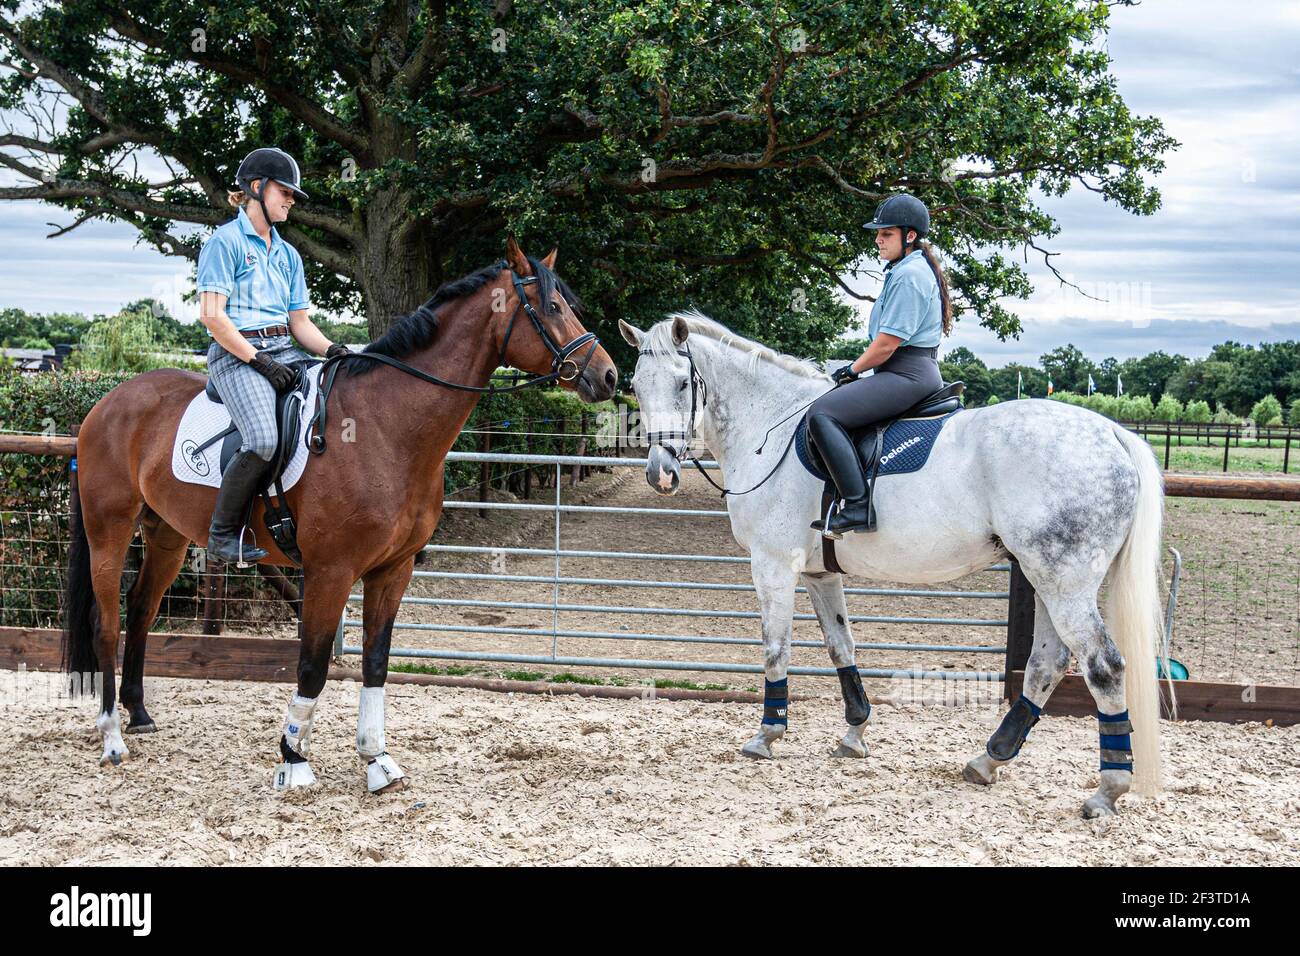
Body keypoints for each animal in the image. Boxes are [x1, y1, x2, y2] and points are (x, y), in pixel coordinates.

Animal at [62, 238, 618, 792]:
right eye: (552, 307)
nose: (607, 375)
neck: (387, 425)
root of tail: (106, 402)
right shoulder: (330, 572)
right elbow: (311, 666)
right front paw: (293, 760)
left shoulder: (393, 569)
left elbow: (376, 662)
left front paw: (377, 760)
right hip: (110, 529)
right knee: (107, 622)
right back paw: (112, 737)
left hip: (167, 535)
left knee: (141, 608)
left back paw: (139, 714)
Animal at [620, 310, 1168, 817]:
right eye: (636, 386)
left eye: (682, 382)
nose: (660, 475)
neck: (769, 429)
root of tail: (1111, 434)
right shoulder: (820, 573)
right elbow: (840, 645)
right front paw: (855, 732)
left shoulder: (773, 566)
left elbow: (776, 649)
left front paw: (767, 735)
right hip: (1047, 579)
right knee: (1047, 664)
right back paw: (988, 760)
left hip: (1062, 581)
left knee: (1103, 667)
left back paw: (1107, 790)